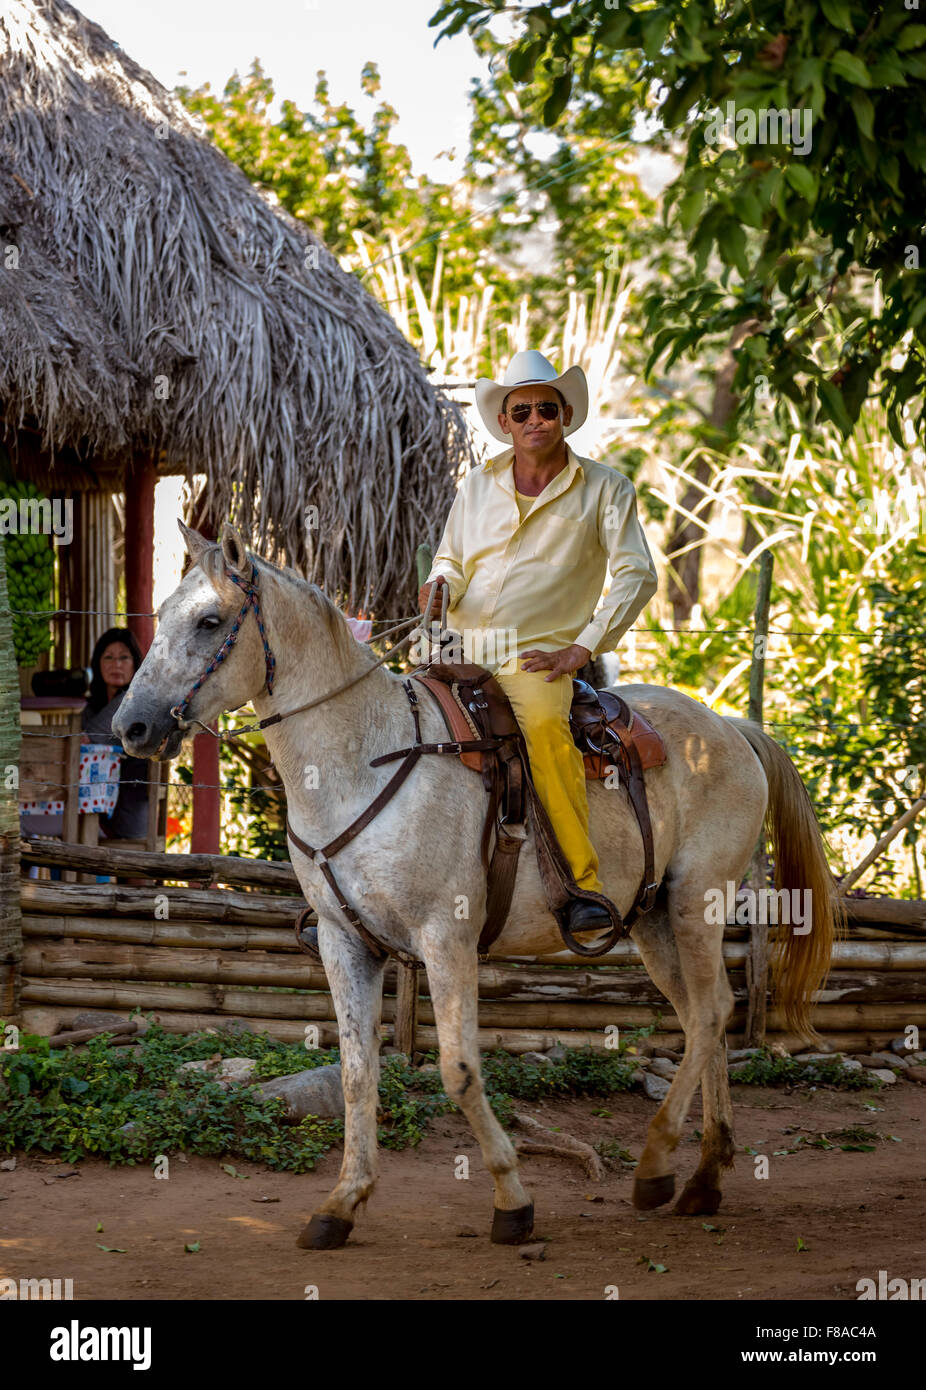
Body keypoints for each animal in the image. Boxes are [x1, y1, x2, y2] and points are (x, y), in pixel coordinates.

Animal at [113, 521, 838, 1250]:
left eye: (210, 621)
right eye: (163, 615)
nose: (131, 726)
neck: (363, 762)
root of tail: (732, 729)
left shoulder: (447, 939)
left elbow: (459, 1071)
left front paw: (512, 1201)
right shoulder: (346, 943)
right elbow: (356, 1074)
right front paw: (342, 1204)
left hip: (696, 901)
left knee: (713, 1013)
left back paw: (662, 1163)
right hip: (653, 918)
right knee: (700, 1018)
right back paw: (703, 1175)